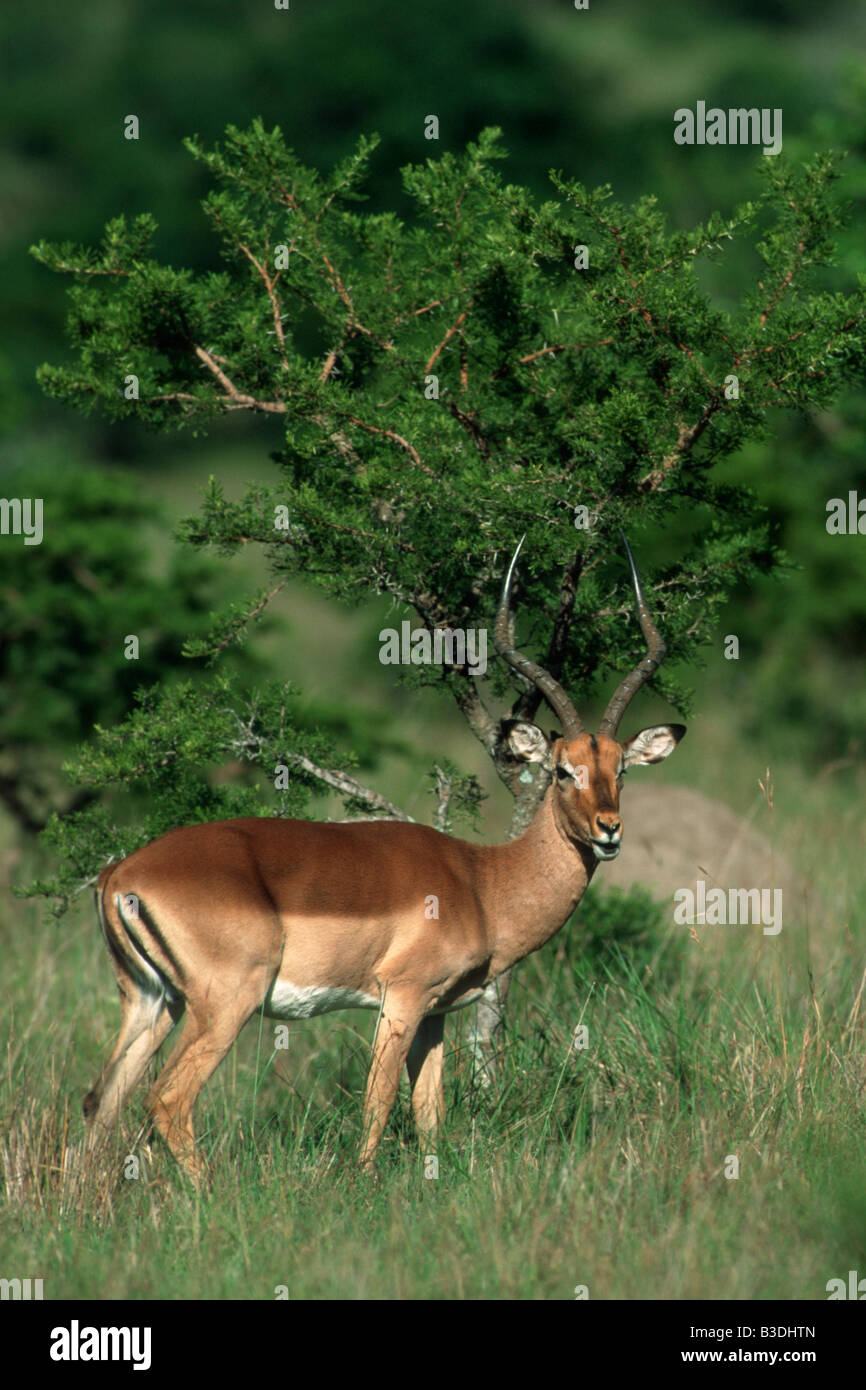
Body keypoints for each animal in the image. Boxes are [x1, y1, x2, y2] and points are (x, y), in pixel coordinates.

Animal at [83, 538, 684, 1180]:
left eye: (621, 769)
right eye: (564, 770)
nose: (609, 831)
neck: (483, 882)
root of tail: (121, 875)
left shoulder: (437, 1014)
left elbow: (429, 1113)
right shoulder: (402, 998)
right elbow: (378, 1102)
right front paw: (365, 1182)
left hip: (153, 1003)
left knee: (101, 1099)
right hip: (224, 1004)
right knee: (167, 1098)